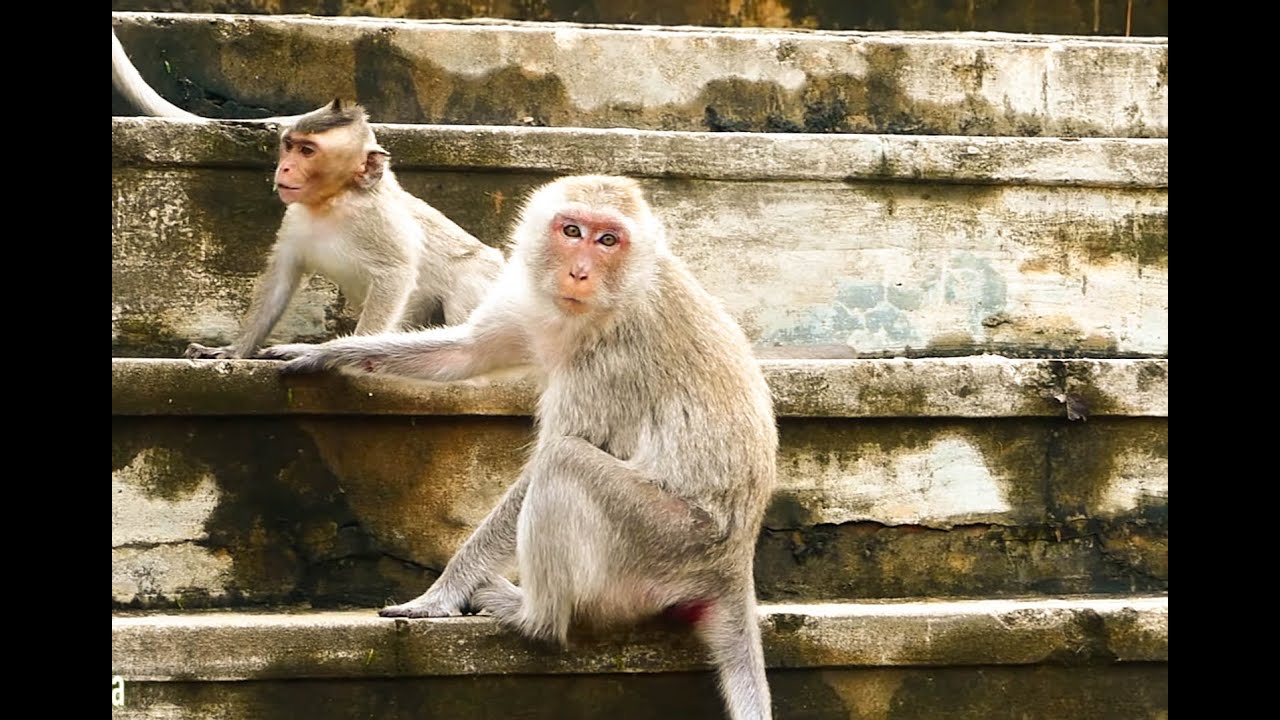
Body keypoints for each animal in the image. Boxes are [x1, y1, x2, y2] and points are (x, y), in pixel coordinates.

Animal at [178, 98, 506, 359]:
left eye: (307, 151)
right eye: (289, 146)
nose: (284, 168)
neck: (332, 201)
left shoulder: (378, 219)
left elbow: (396, 274)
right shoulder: (295, 218)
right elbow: (281, 276)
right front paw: (232, 350)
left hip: (485, 279)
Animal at [261, 175, 778, 720]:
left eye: (608, 240)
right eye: (571, 231)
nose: (579, 273)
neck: (614, 297)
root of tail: (733, 564)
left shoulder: (612, 362)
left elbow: (545, 462)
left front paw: (443, 593)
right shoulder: (534, 303)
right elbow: (465, 352)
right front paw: (325, 353)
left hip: (668, 541)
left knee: (563, 463)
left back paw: (536, 619)